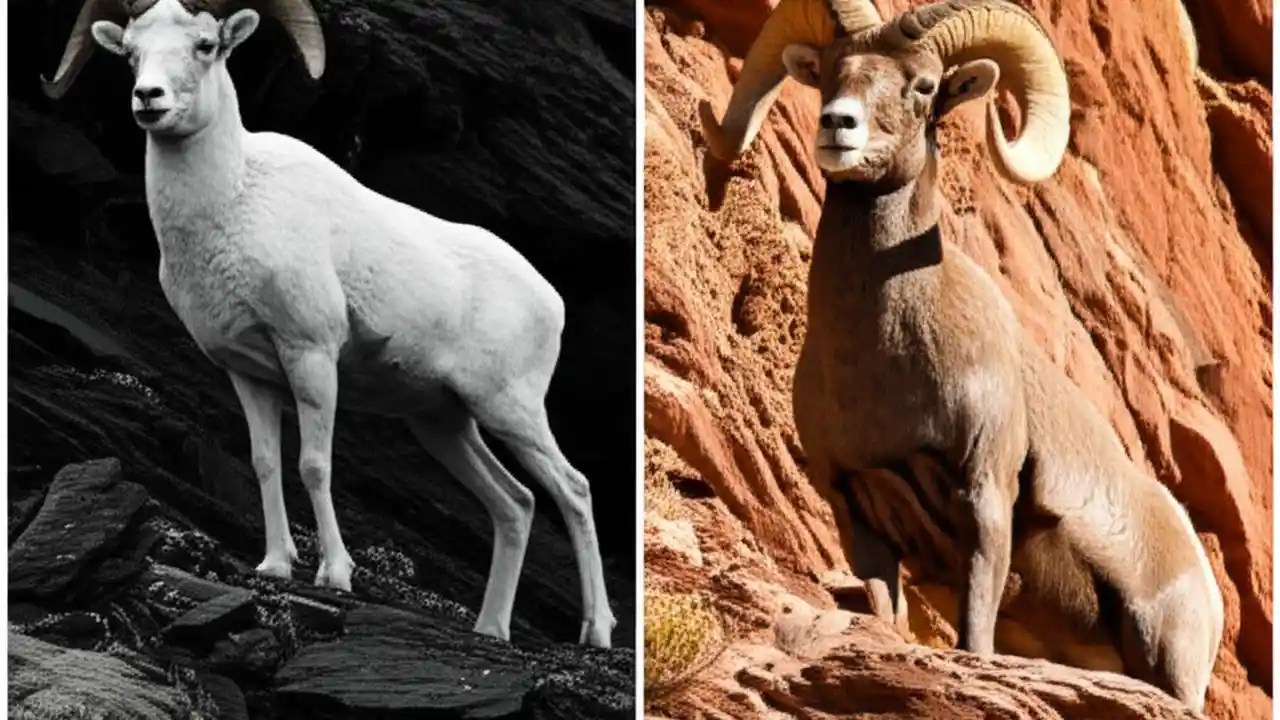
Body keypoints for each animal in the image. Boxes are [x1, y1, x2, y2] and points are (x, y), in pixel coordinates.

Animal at [43, 0, 617, 648]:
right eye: (132, 53)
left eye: (205, 46)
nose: (149, 98)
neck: (233, 205)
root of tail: (550, 301)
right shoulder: (249, 374)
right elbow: (266, 462)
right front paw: (273, 564)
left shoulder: (311, 356)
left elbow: (314, 465)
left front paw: (334, 575)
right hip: (444, 422)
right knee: (515, 504)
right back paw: (491, 629)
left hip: (508, 409)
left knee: (573, 490)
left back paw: (597, 632)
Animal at [699, 0, 1223, 709]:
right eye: (831, 71)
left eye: (923, 87)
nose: (839, 125)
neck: (882, 366)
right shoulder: (856, 508)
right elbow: (885, 610)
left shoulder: (983, 495)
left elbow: (974, 634)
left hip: (1168, 663)